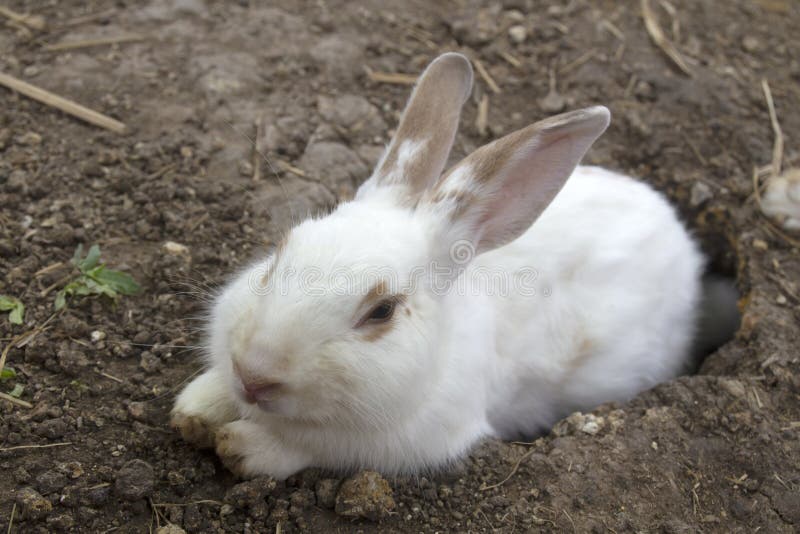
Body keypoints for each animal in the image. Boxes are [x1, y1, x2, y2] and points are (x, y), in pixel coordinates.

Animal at [170, 52, 711, 480]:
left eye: (382, 312)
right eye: (280, 253)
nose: (254, 373)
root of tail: (681, 237)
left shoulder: (405, 442)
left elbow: (308, 449)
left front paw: (240, 446)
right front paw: (193, 411)